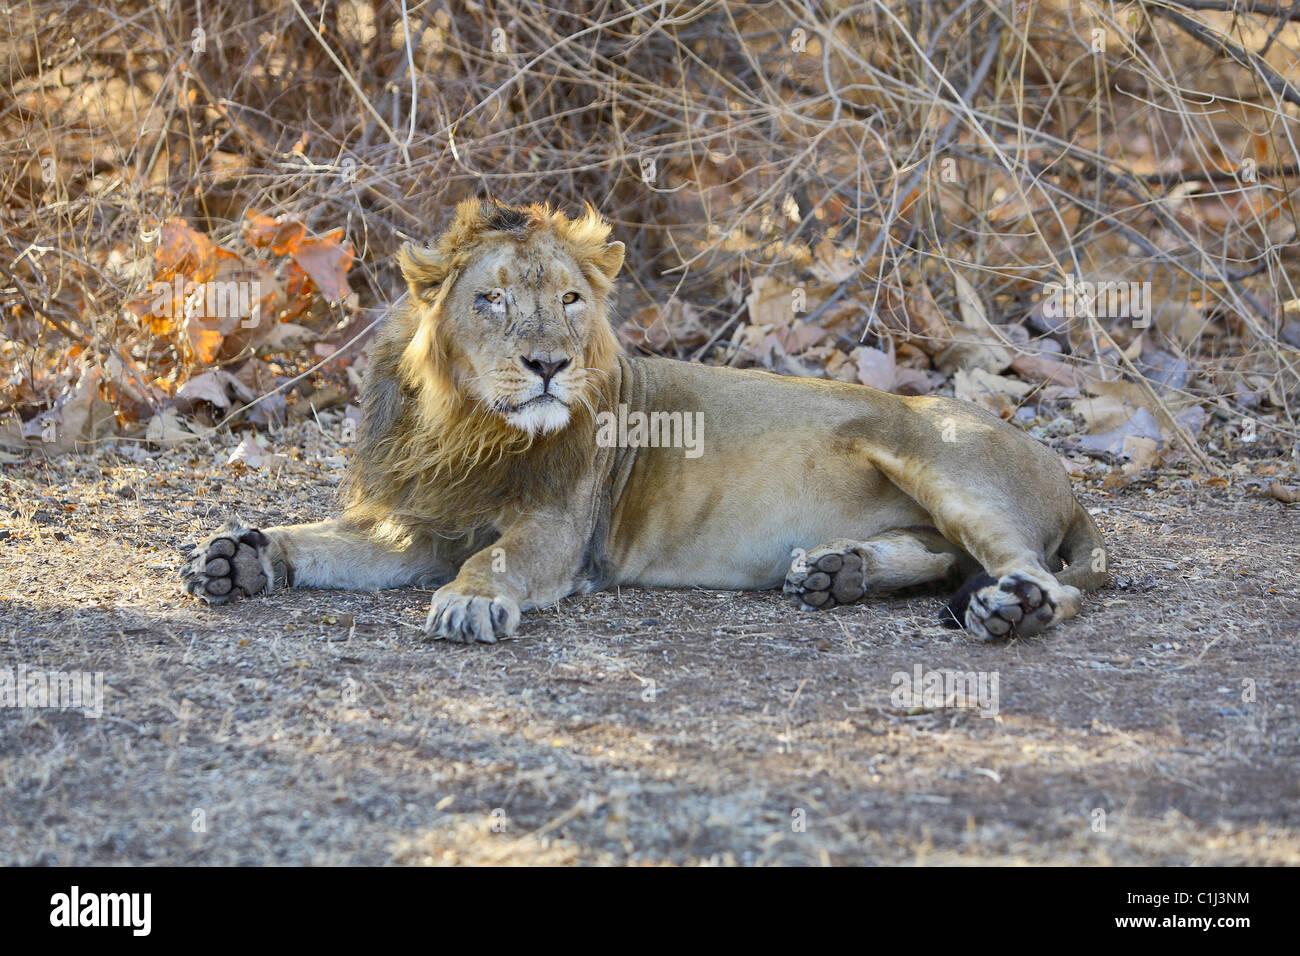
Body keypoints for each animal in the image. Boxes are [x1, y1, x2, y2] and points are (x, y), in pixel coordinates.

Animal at [181, 199, 1108, 643]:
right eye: (491, 300)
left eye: (569, 300)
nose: (548, 364)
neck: (463, 423)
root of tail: (1063, 473)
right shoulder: (416, 525)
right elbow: (319, 540)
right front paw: (237, 555)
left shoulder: (558, 530)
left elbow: (497, 560)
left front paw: (471, 606)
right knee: (940, 556)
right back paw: (837, 572)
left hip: (931, 456)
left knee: (1040, 578)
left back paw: (1008, 613)